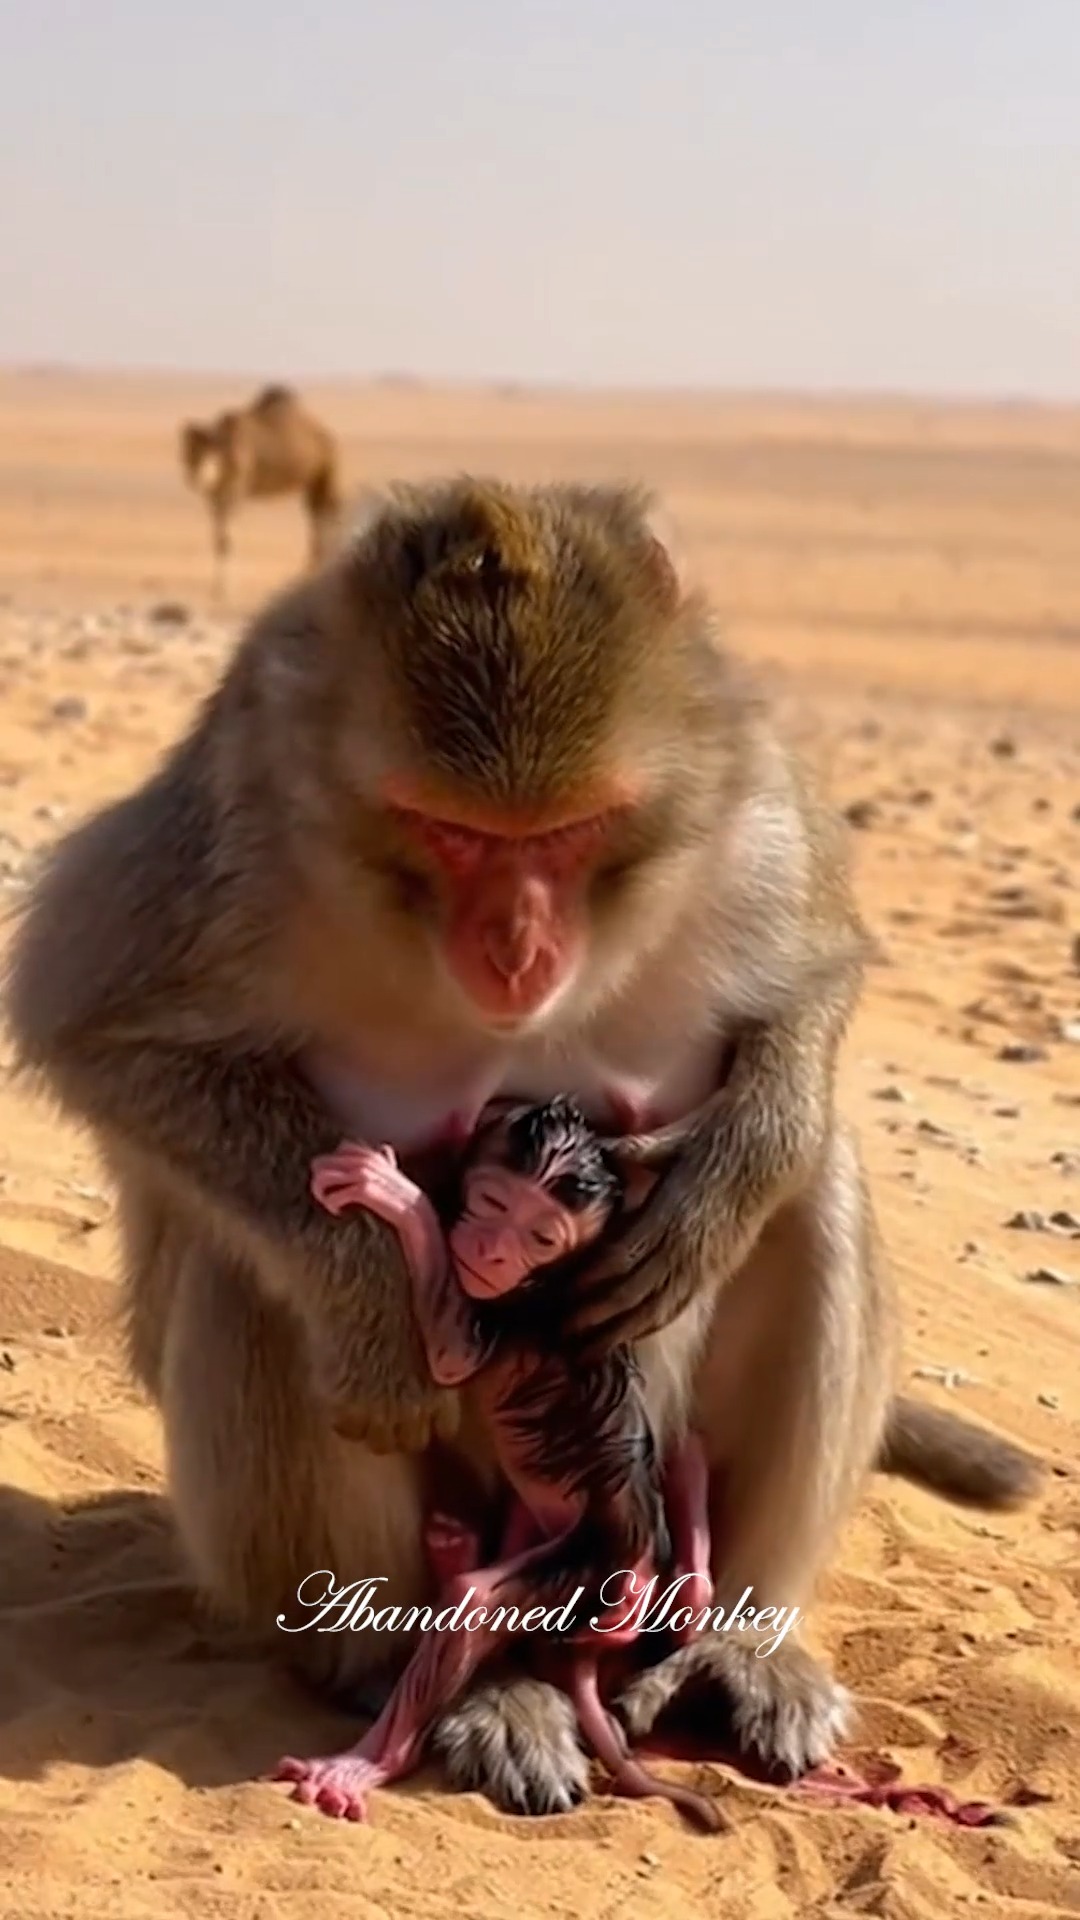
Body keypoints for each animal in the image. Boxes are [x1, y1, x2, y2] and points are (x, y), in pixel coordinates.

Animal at [178, 384, 343, 598]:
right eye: (191, 453)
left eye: (213, 454)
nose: (194, 478)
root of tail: (328, 436)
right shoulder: (216, 495)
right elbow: (218, 538)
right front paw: (217, 589)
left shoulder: (234, 491)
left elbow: (227, 539)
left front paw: (226, 591)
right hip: (312, 481)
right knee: (317, 513)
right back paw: (311, 569)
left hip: (326, 470)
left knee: (329, 511)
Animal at [274, 1095, 724, 1829]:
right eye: (490, 1203)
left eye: (542, 1238)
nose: (491, 1248)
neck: (556, 1279)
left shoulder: (522, 1313)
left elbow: (452, 1354)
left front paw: (400, 1200)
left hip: (596, 1572)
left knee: (478, 1600)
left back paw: (369, 1762)